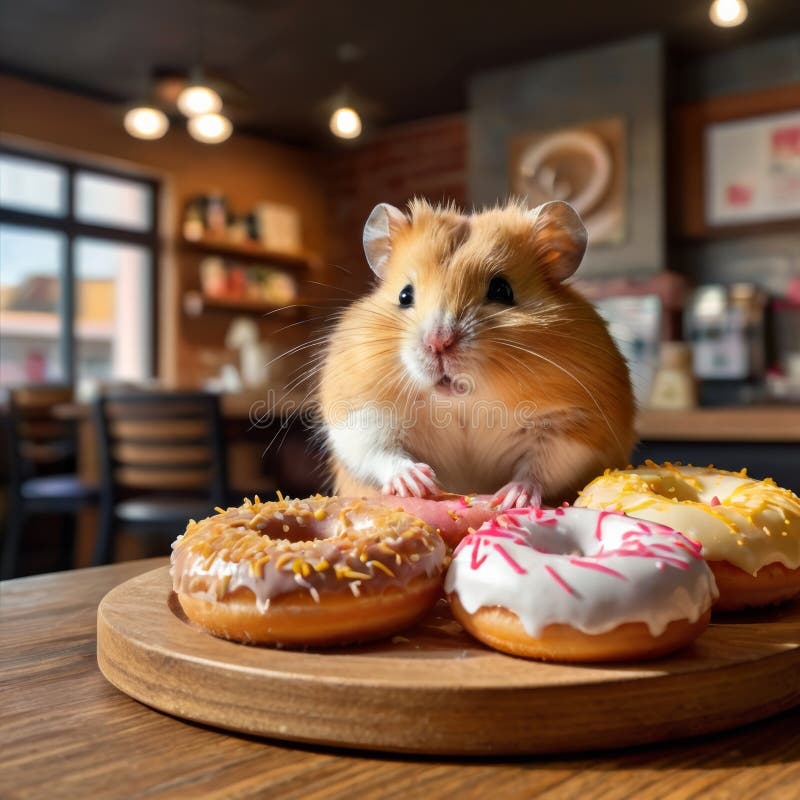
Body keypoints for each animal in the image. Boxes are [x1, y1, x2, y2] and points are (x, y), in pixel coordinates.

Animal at [318, 198, 635, 510]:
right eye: (405, 295)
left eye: (502, 290)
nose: (438, 342)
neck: (464, 402)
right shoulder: (360, 413)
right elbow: (378, 450)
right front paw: (418, 483)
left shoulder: (574, 426)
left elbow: (540, 467)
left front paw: (510, 499)